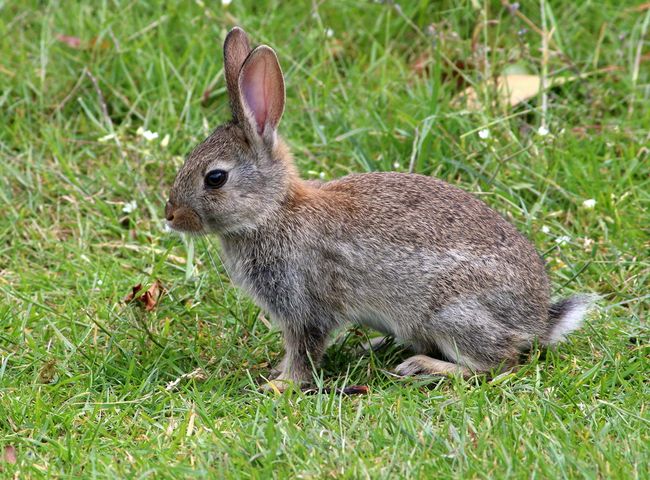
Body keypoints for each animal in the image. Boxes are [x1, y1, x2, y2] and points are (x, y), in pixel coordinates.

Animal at [165, 27, 596, 391]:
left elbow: (305, 350)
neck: (273, 212)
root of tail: (539, 320)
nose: (171, 215)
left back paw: (422, 366)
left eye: (215, 178)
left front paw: (280, 386)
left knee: (499, 361)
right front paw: (275, 374)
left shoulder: (305, 305)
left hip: (452, 314)